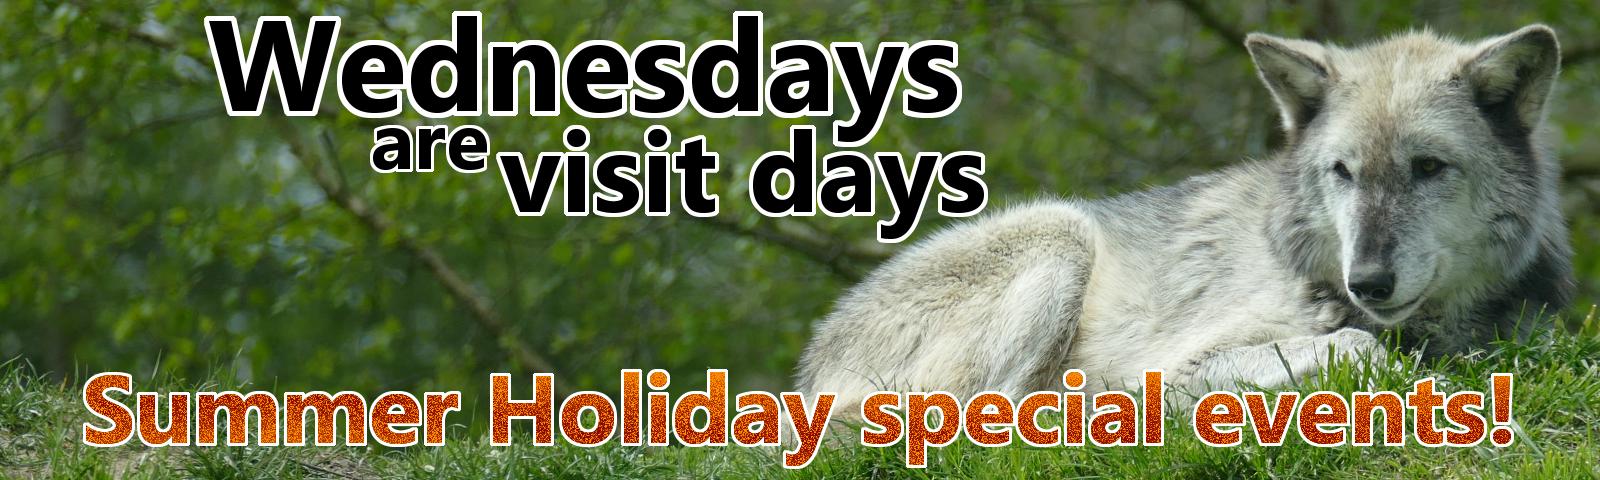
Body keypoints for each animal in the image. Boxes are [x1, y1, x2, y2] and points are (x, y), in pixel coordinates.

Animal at [795, 25, 1574, 414]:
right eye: (1343, 172)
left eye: (1428, 168)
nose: (1369, 283)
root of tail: (809, 369)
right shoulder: (1183, 359)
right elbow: (1358, 347)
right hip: (1058, 236)